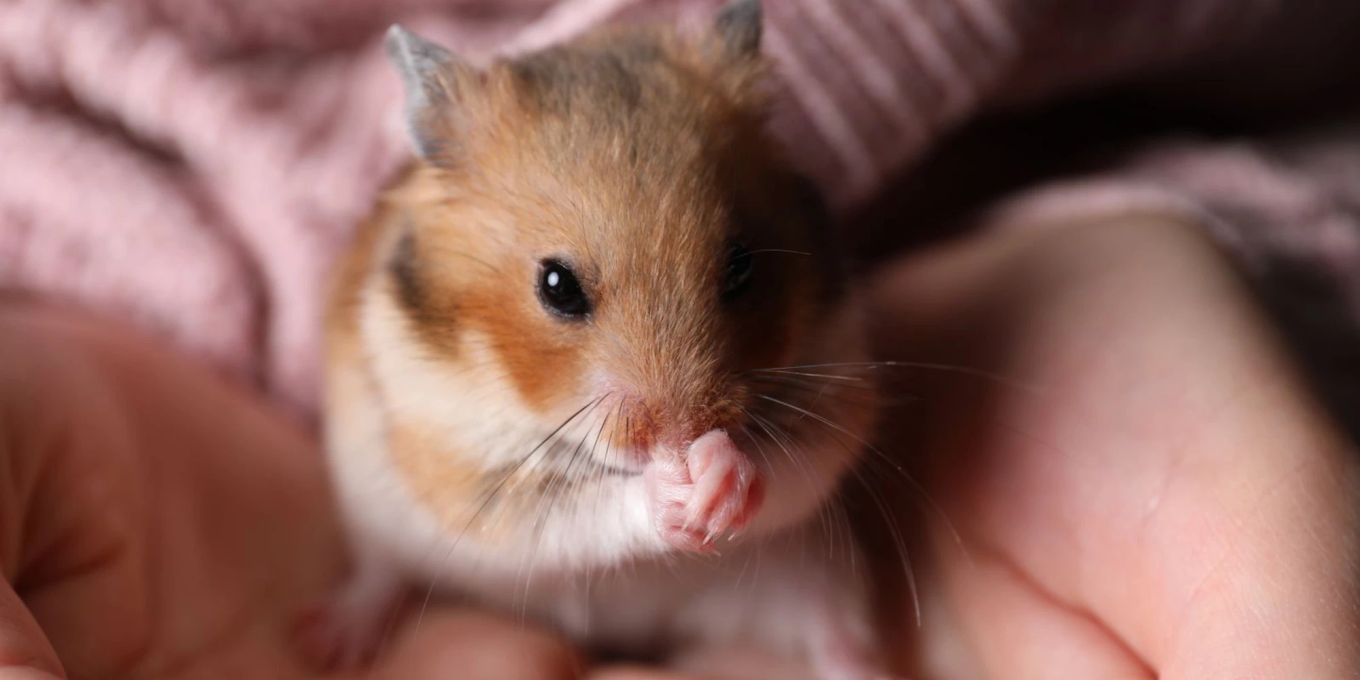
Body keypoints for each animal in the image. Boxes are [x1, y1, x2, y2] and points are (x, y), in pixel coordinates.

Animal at [310, 2, 886, 678]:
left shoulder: (834, 392)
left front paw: (717, 473)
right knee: (379, 575)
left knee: (838, 635)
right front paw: (673, 487)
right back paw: (331, 641)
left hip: (823, 573)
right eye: (557, 286)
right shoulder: (458, 463)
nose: (682, 438)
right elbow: (580, 513)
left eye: (742, 265)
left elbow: (793, 466)